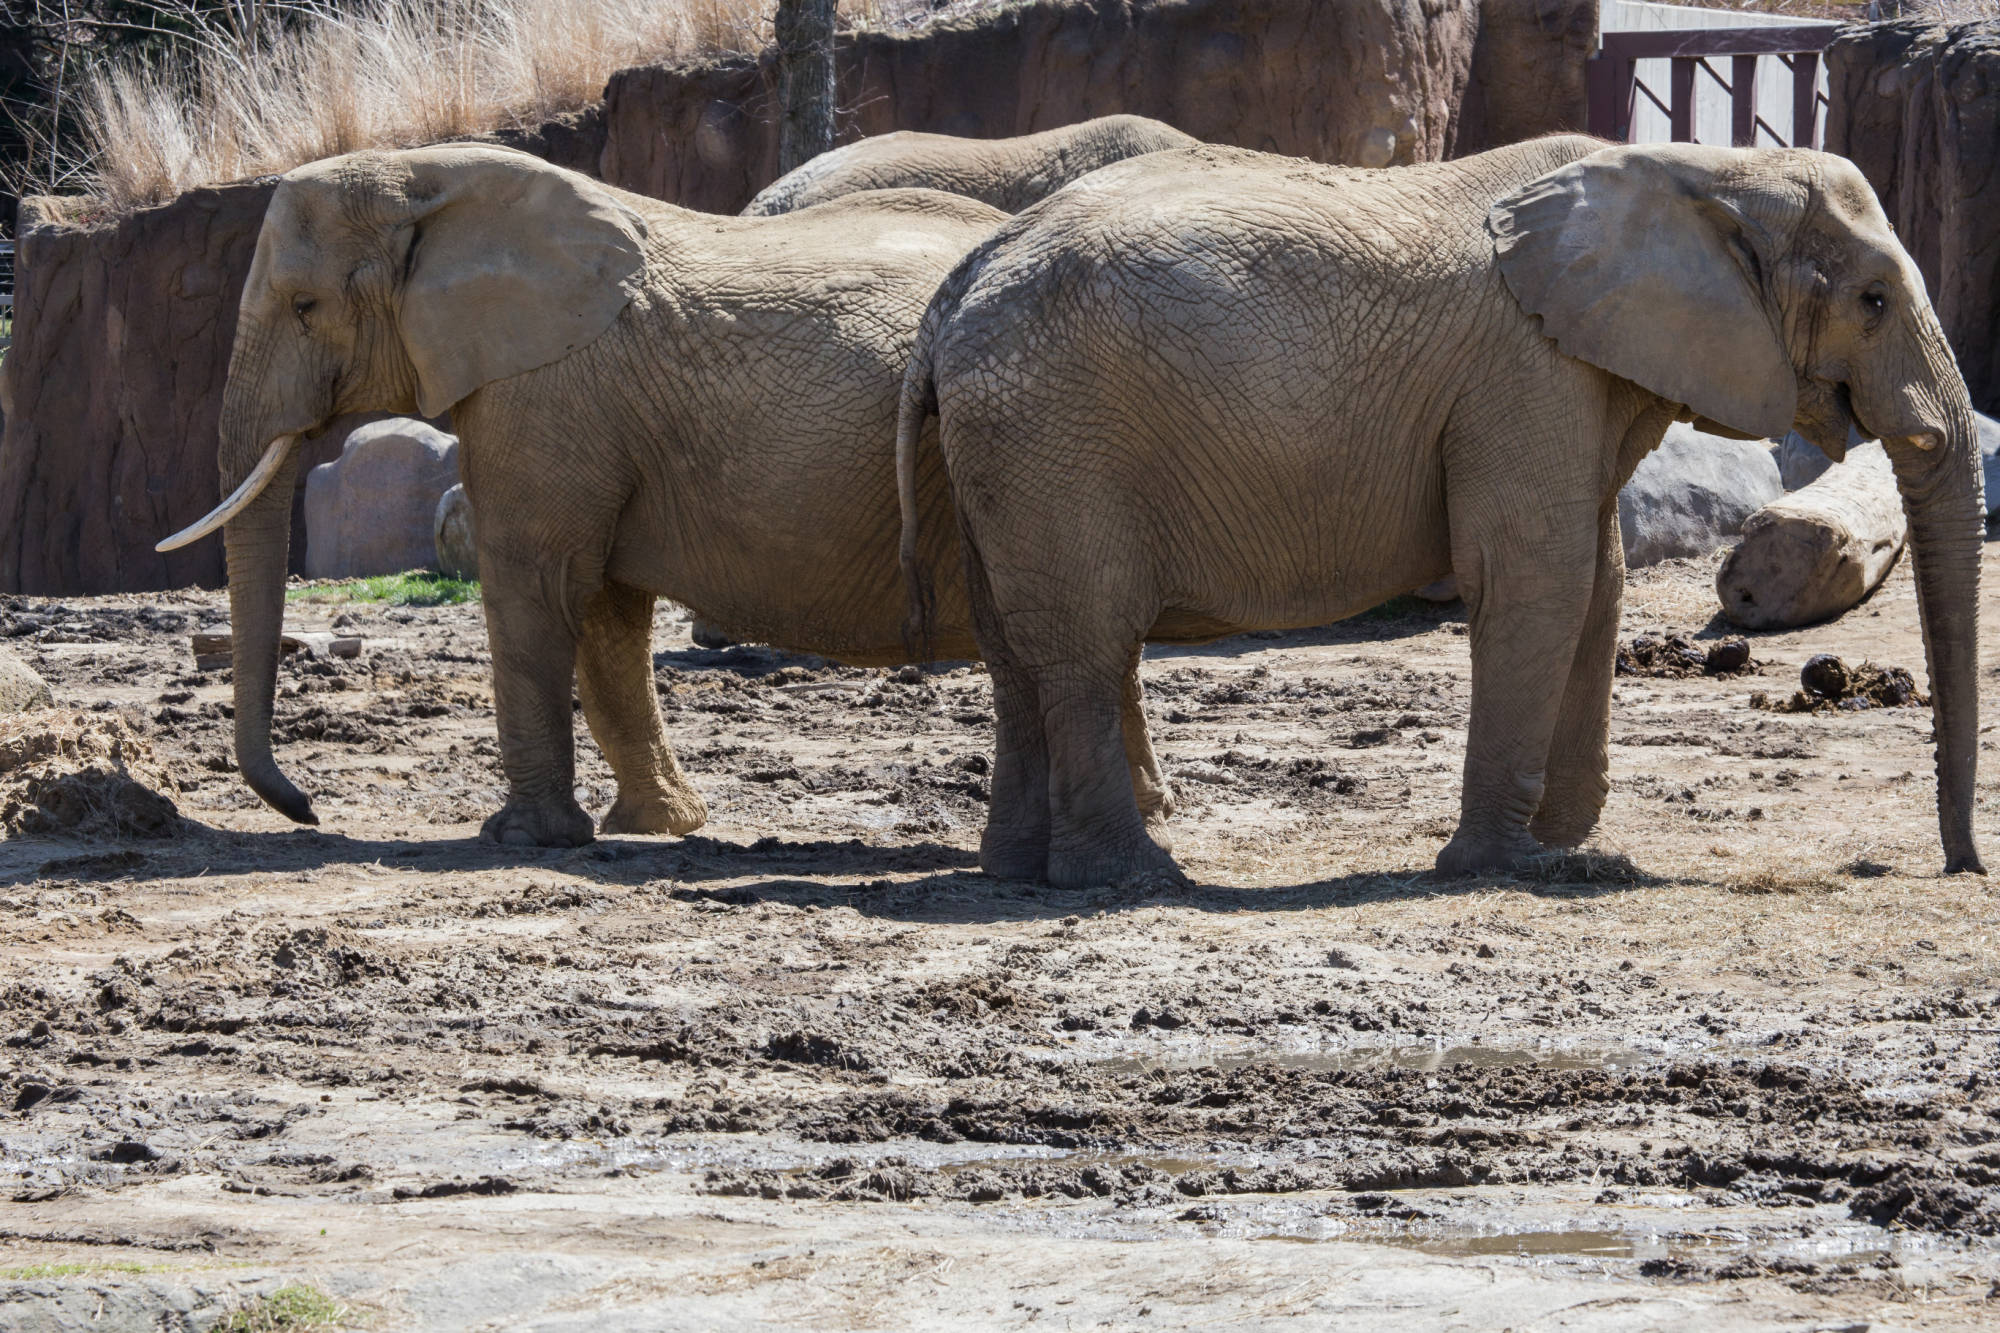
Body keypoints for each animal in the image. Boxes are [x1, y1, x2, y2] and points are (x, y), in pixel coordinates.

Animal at [157, 144, 1176, 847]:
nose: (307, 808)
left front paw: (523, 839)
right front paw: (657, 827)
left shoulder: (547, 391)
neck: (435, 175)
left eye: (304, 307)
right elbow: (604, 605)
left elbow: (538, 584)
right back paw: (1149, 811)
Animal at [899, 136, 1985, 887]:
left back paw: (1013, 870)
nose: (1955, 867)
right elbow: (1537, 577)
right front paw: (1511, 864)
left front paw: (1563, 846)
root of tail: (956, 287)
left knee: (1012, 648)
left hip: (1005, 451)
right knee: (1083, 646)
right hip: (1055, 437)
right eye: (1874, 300)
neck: (1703, 170)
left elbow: (1597, 579)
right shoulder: (1525, 372)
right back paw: (1131, 879)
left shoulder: (1577, 375)